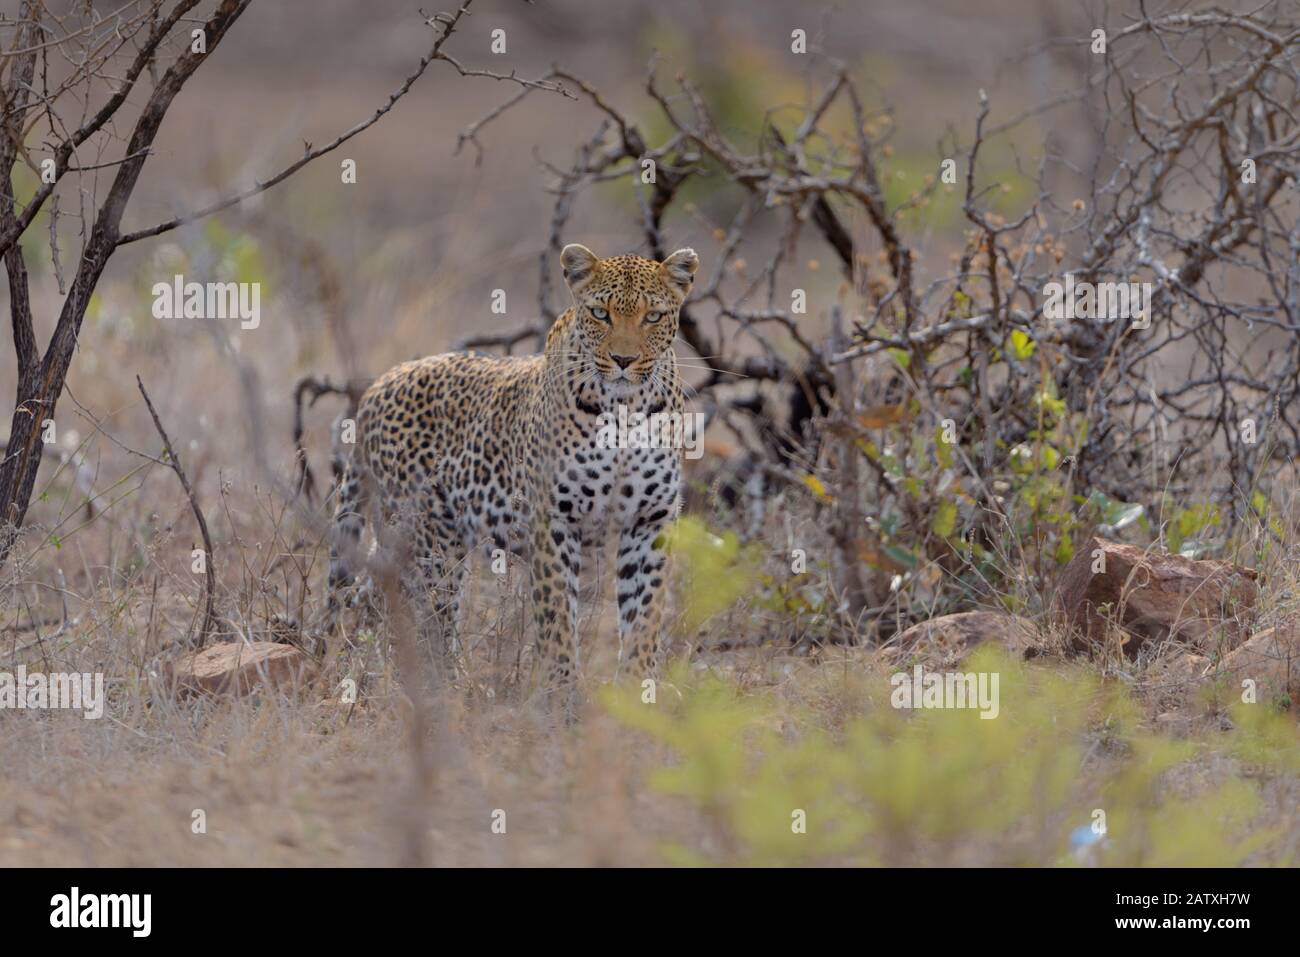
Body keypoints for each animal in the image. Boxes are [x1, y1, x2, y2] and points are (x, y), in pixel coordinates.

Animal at [325, 243, 699, 687]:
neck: (625, 411)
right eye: (600, 313)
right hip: (429, 540)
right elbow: (557, 620)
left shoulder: (650, 521)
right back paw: (439, 687)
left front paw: (637, 690)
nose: (623, 359)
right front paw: (562, 693)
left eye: (653, 316)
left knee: (367, 594)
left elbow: (645, 616)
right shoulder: (553, 521)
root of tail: (378, 386)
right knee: (423, 616)